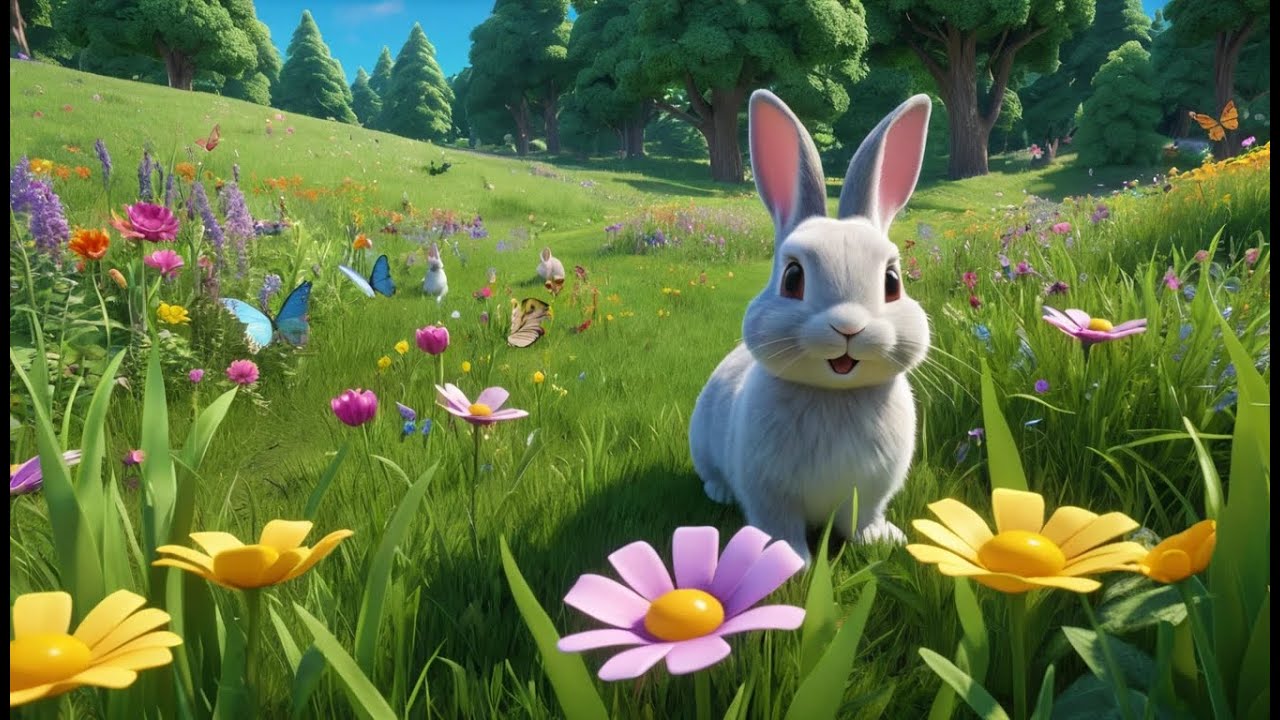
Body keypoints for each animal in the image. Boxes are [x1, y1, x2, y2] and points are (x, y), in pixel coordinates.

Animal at [688, 90, 933, 565]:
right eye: (792, 279)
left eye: (892, 282)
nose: (848, 328)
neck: (834, 396)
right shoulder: (769, 495)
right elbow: (780, 526)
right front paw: (787, 562)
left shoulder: (869, 493)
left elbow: (863, 520)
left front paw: (882, 540)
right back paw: (719, 491)